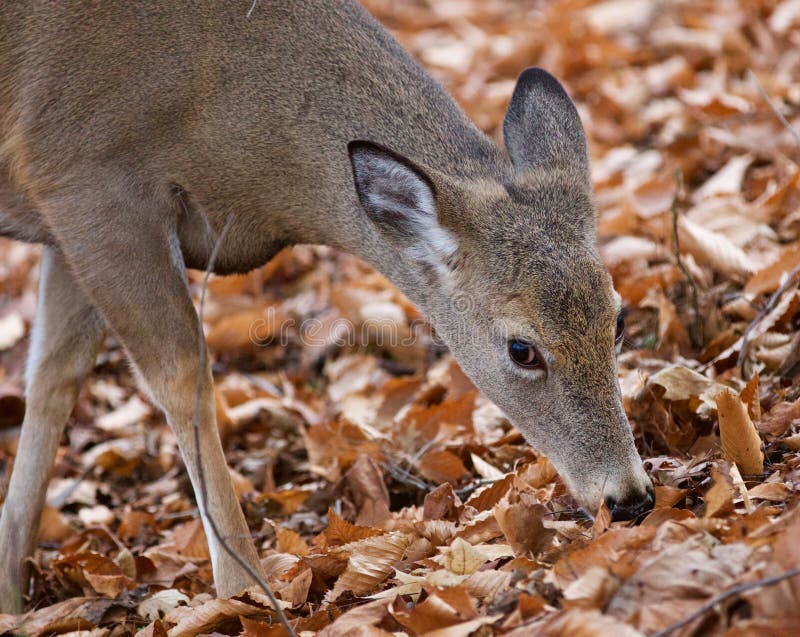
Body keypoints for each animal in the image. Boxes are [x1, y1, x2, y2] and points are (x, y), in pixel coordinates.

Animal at [0, 0, 654, 612]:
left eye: (618, 318)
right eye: (521, 348)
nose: (628, 497)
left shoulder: (63, 221)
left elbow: (53, 376)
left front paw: (9, 592)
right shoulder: (85, 180)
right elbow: (180, 375)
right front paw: (242, 590)